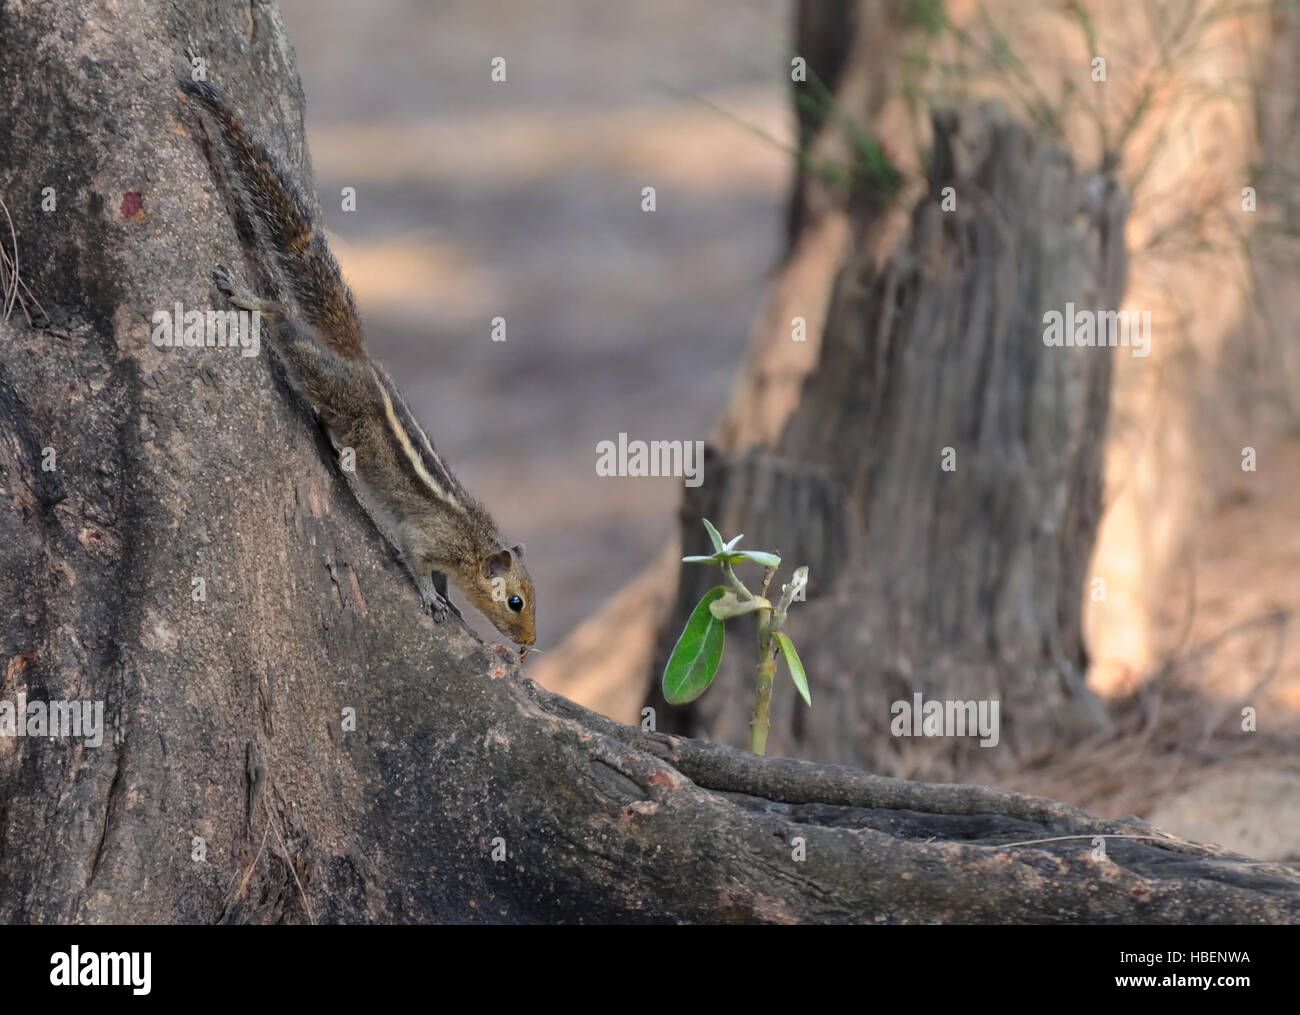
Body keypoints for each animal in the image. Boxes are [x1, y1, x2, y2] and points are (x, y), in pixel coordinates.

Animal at [180, 76, 536, 648]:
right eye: (516, 601)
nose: (527, 645)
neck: (472, 542)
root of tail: (359, 358)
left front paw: (447, 598)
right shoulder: (425, 536)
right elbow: (415, 560)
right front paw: (432, 598)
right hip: (329, 381)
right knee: (286, 327)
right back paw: (252, 300)